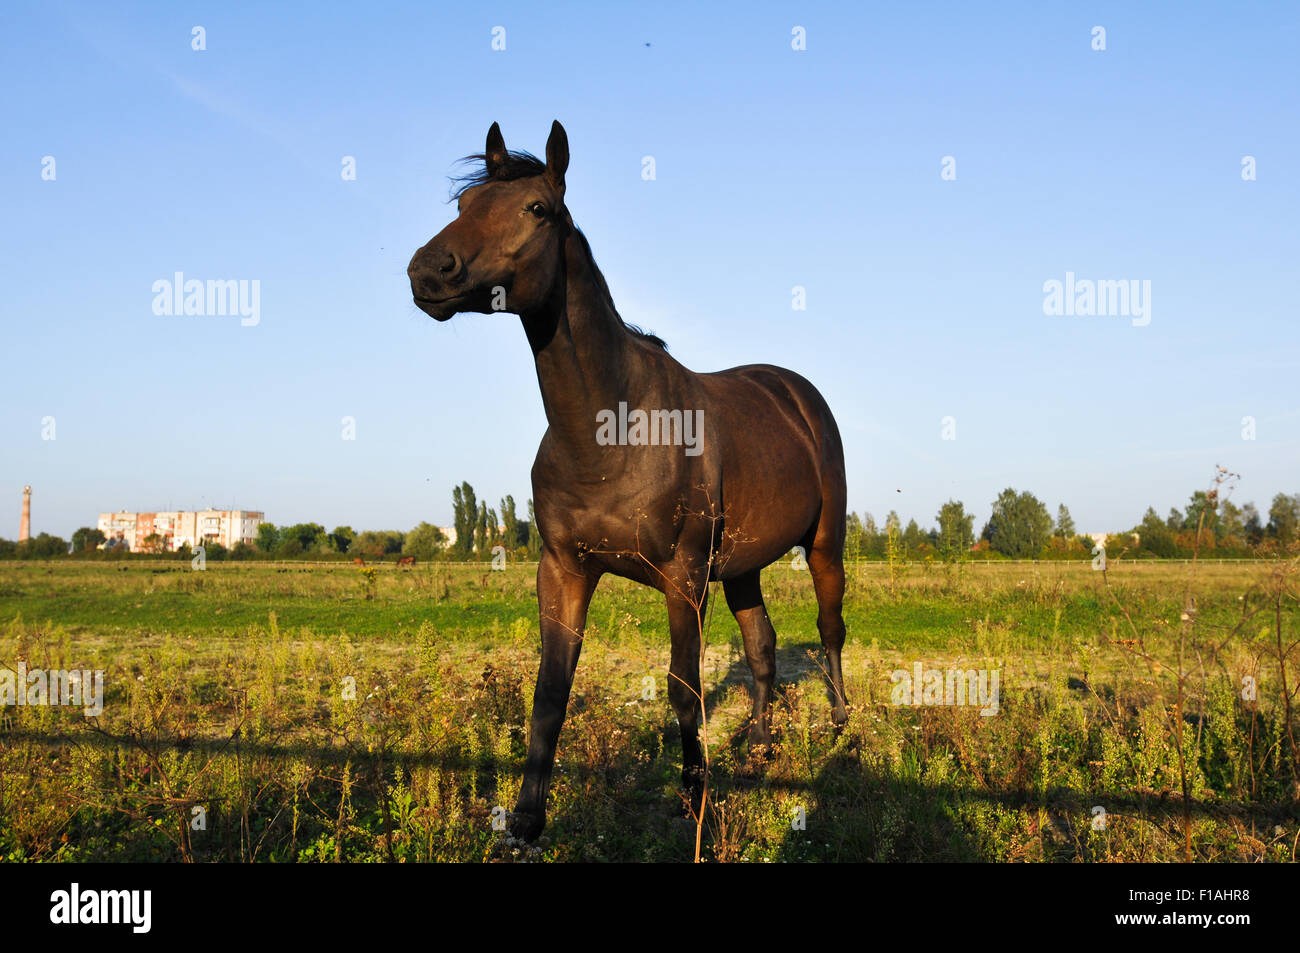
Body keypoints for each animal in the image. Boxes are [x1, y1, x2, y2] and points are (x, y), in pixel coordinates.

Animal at [408, 121, 848, 841]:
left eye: (537, 209)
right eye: (464, 206)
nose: (427, 270)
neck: (609, 432)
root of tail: (794, 391)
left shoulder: (682, 577)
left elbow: (684, 690)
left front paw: (695, 805)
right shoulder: (564, 568)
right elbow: (550, 691)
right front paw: (527, 818)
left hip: (822, 544)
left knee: (831, 628)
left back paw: (842, 730)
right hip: (743, 565)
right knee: (762, 645)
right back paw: (758, 747)